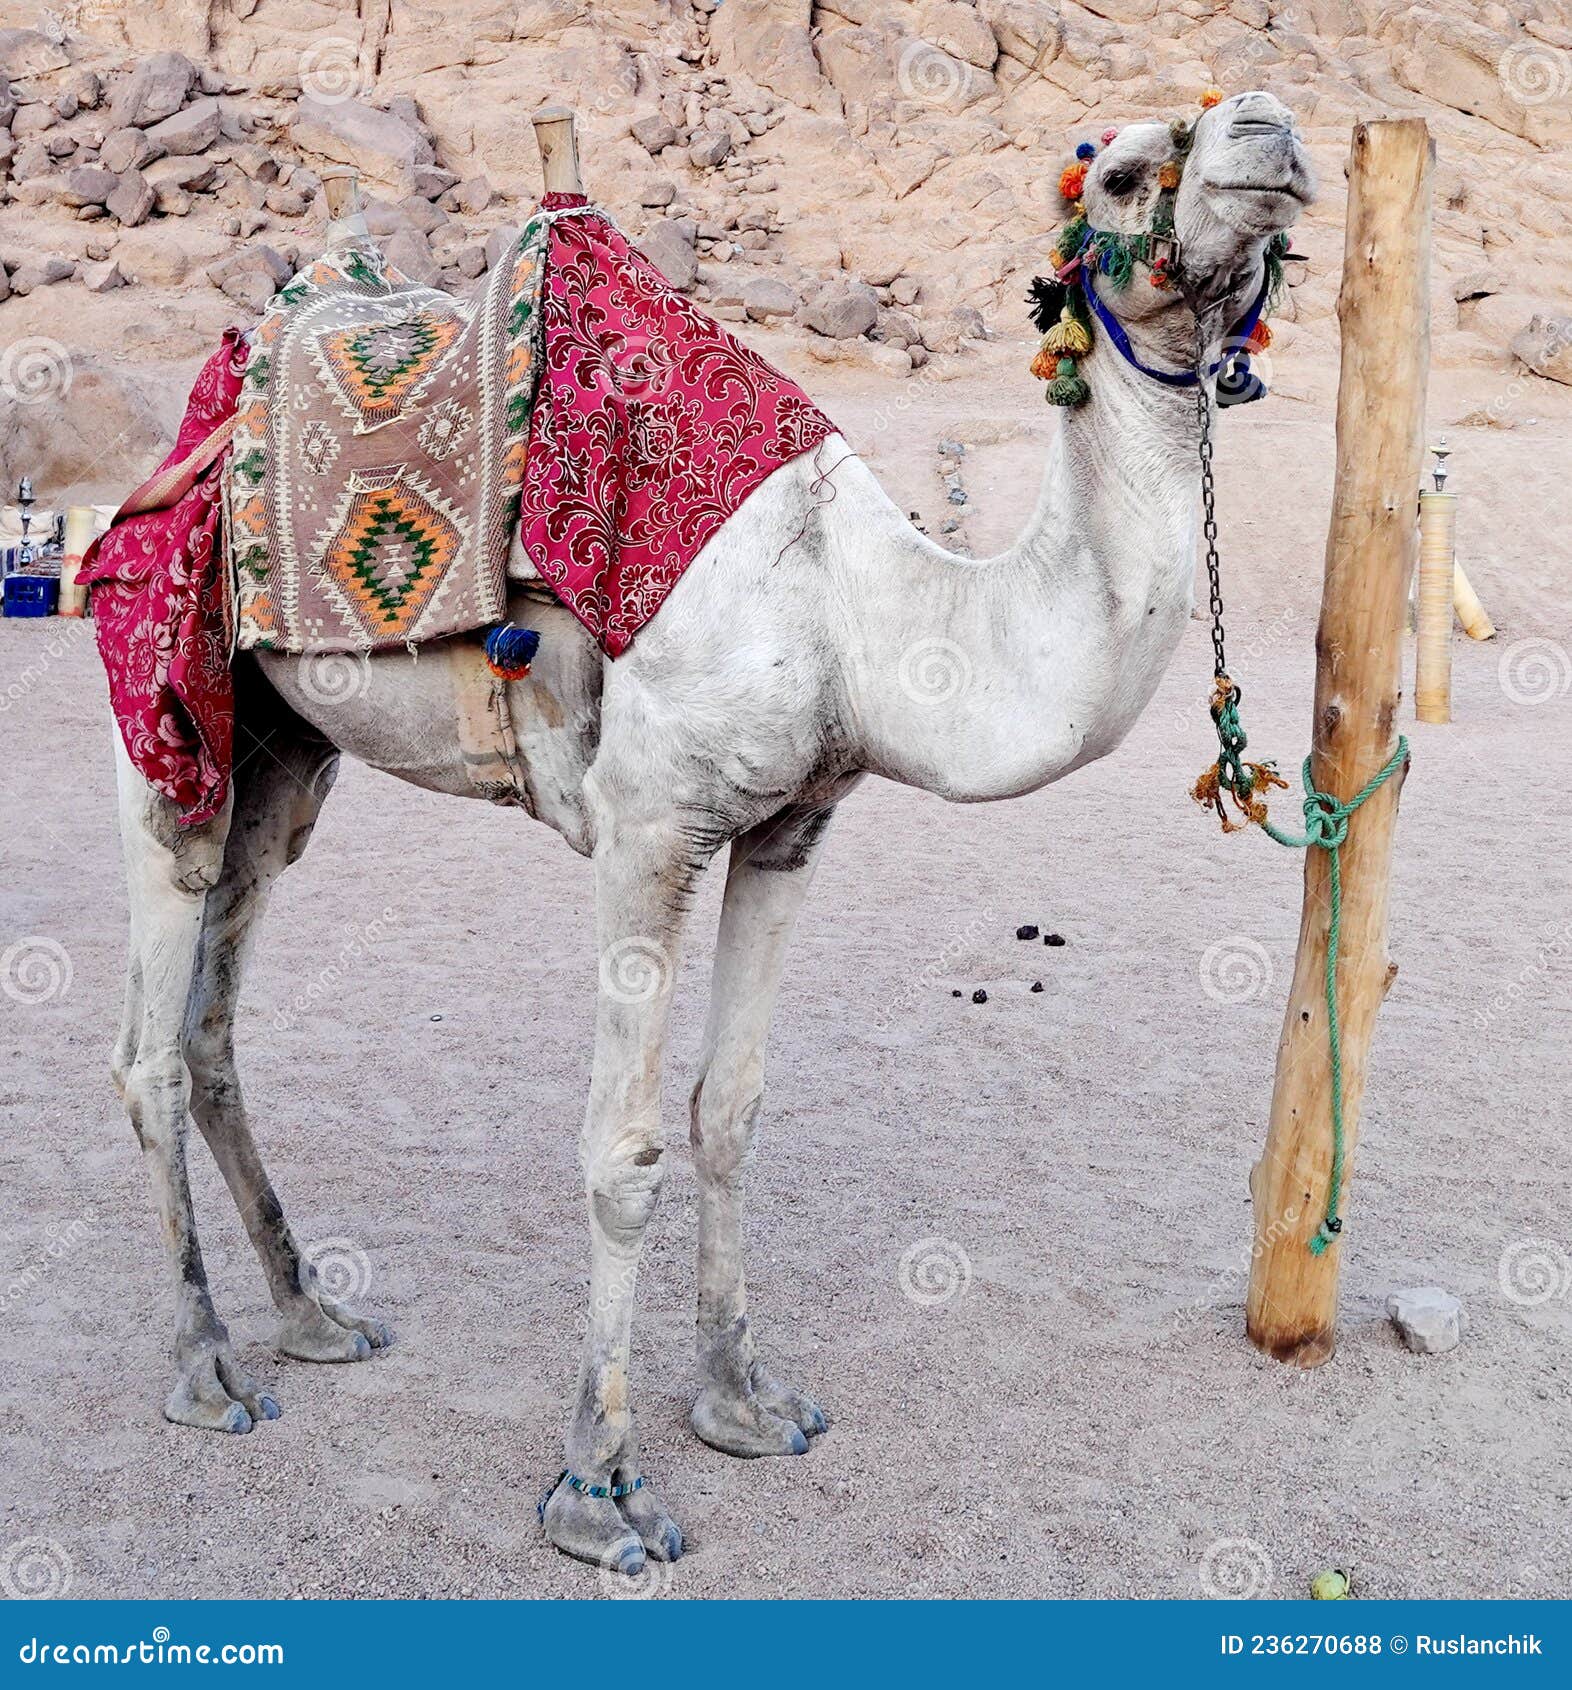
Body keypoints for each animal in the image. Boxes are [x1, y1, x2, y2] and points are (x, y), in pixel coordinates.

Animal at [109, 91, 1313, 1575]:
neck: (854, 609)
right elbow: (619, 1151)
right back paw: (209, 1364)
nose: (1272, 132)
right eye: (1130, 172)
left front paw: (743, 1398)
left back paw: (313, 1316)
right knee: (149, 1045)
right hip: (168, 711)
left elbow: (729, 1110)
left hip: (287, 752)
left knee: (215, 1024)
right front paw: (598, 1488)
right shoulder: (649, 824)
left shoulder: (791, 822)